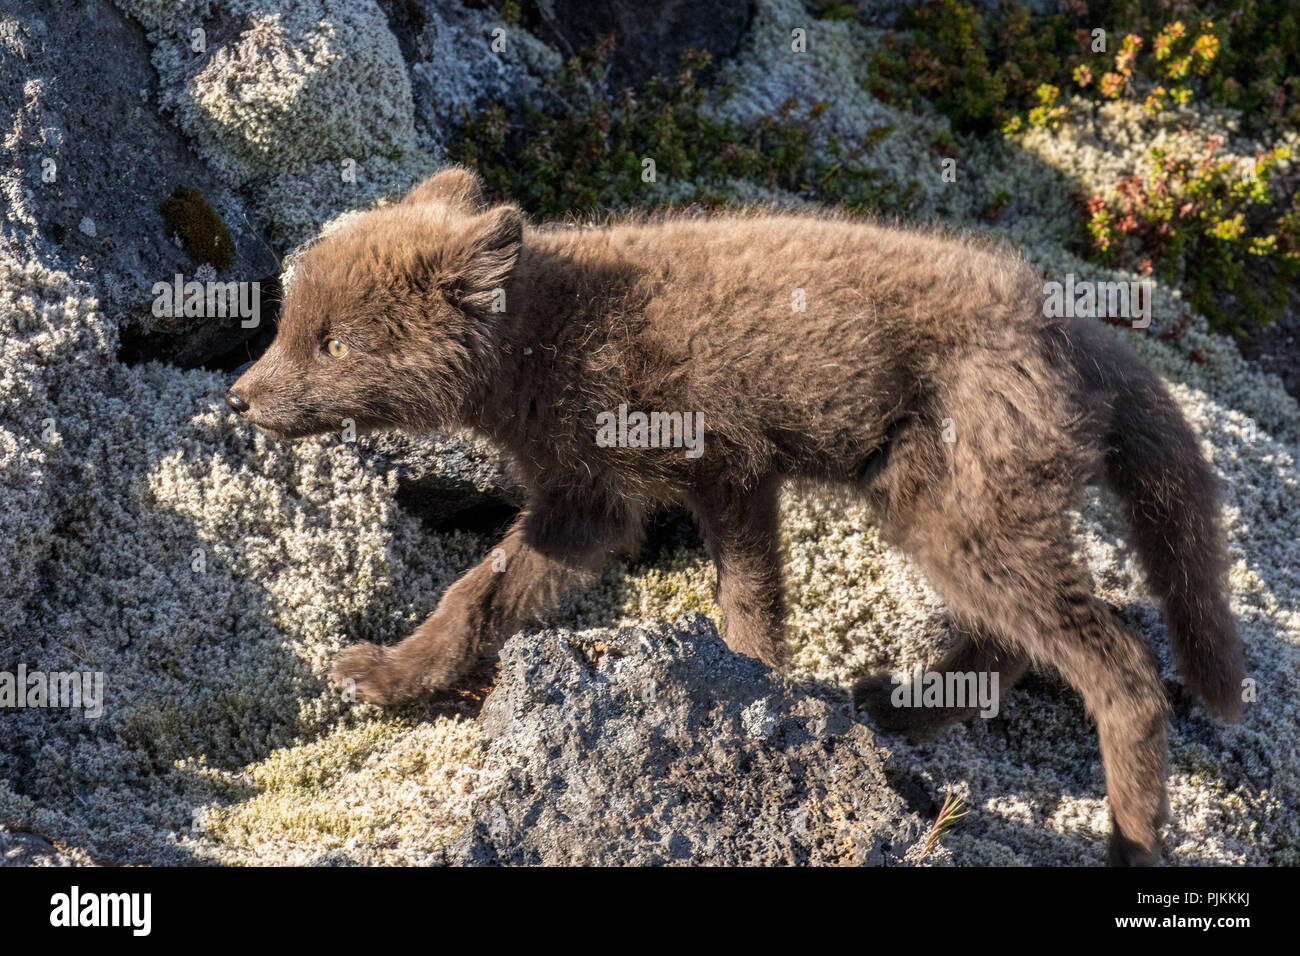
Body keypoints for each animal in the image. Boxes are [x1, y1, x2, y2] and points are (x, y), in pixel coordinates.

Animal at [227, 166, 1245, 865]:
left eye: (335, 342)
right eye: (292, 325)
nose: (240, 396)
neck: (554, 342)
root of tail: (1069, 323)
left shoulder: (725, 462)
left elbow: (749, 603)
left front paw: (753, 700)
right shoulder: (589, 499)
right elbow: (477, 595)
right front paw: (394, 675)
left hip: (966, 511)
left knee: (1121, 665)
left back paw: (1129, 839)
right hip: (940, 510)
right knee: (1016, 641)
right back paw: (892, 707)